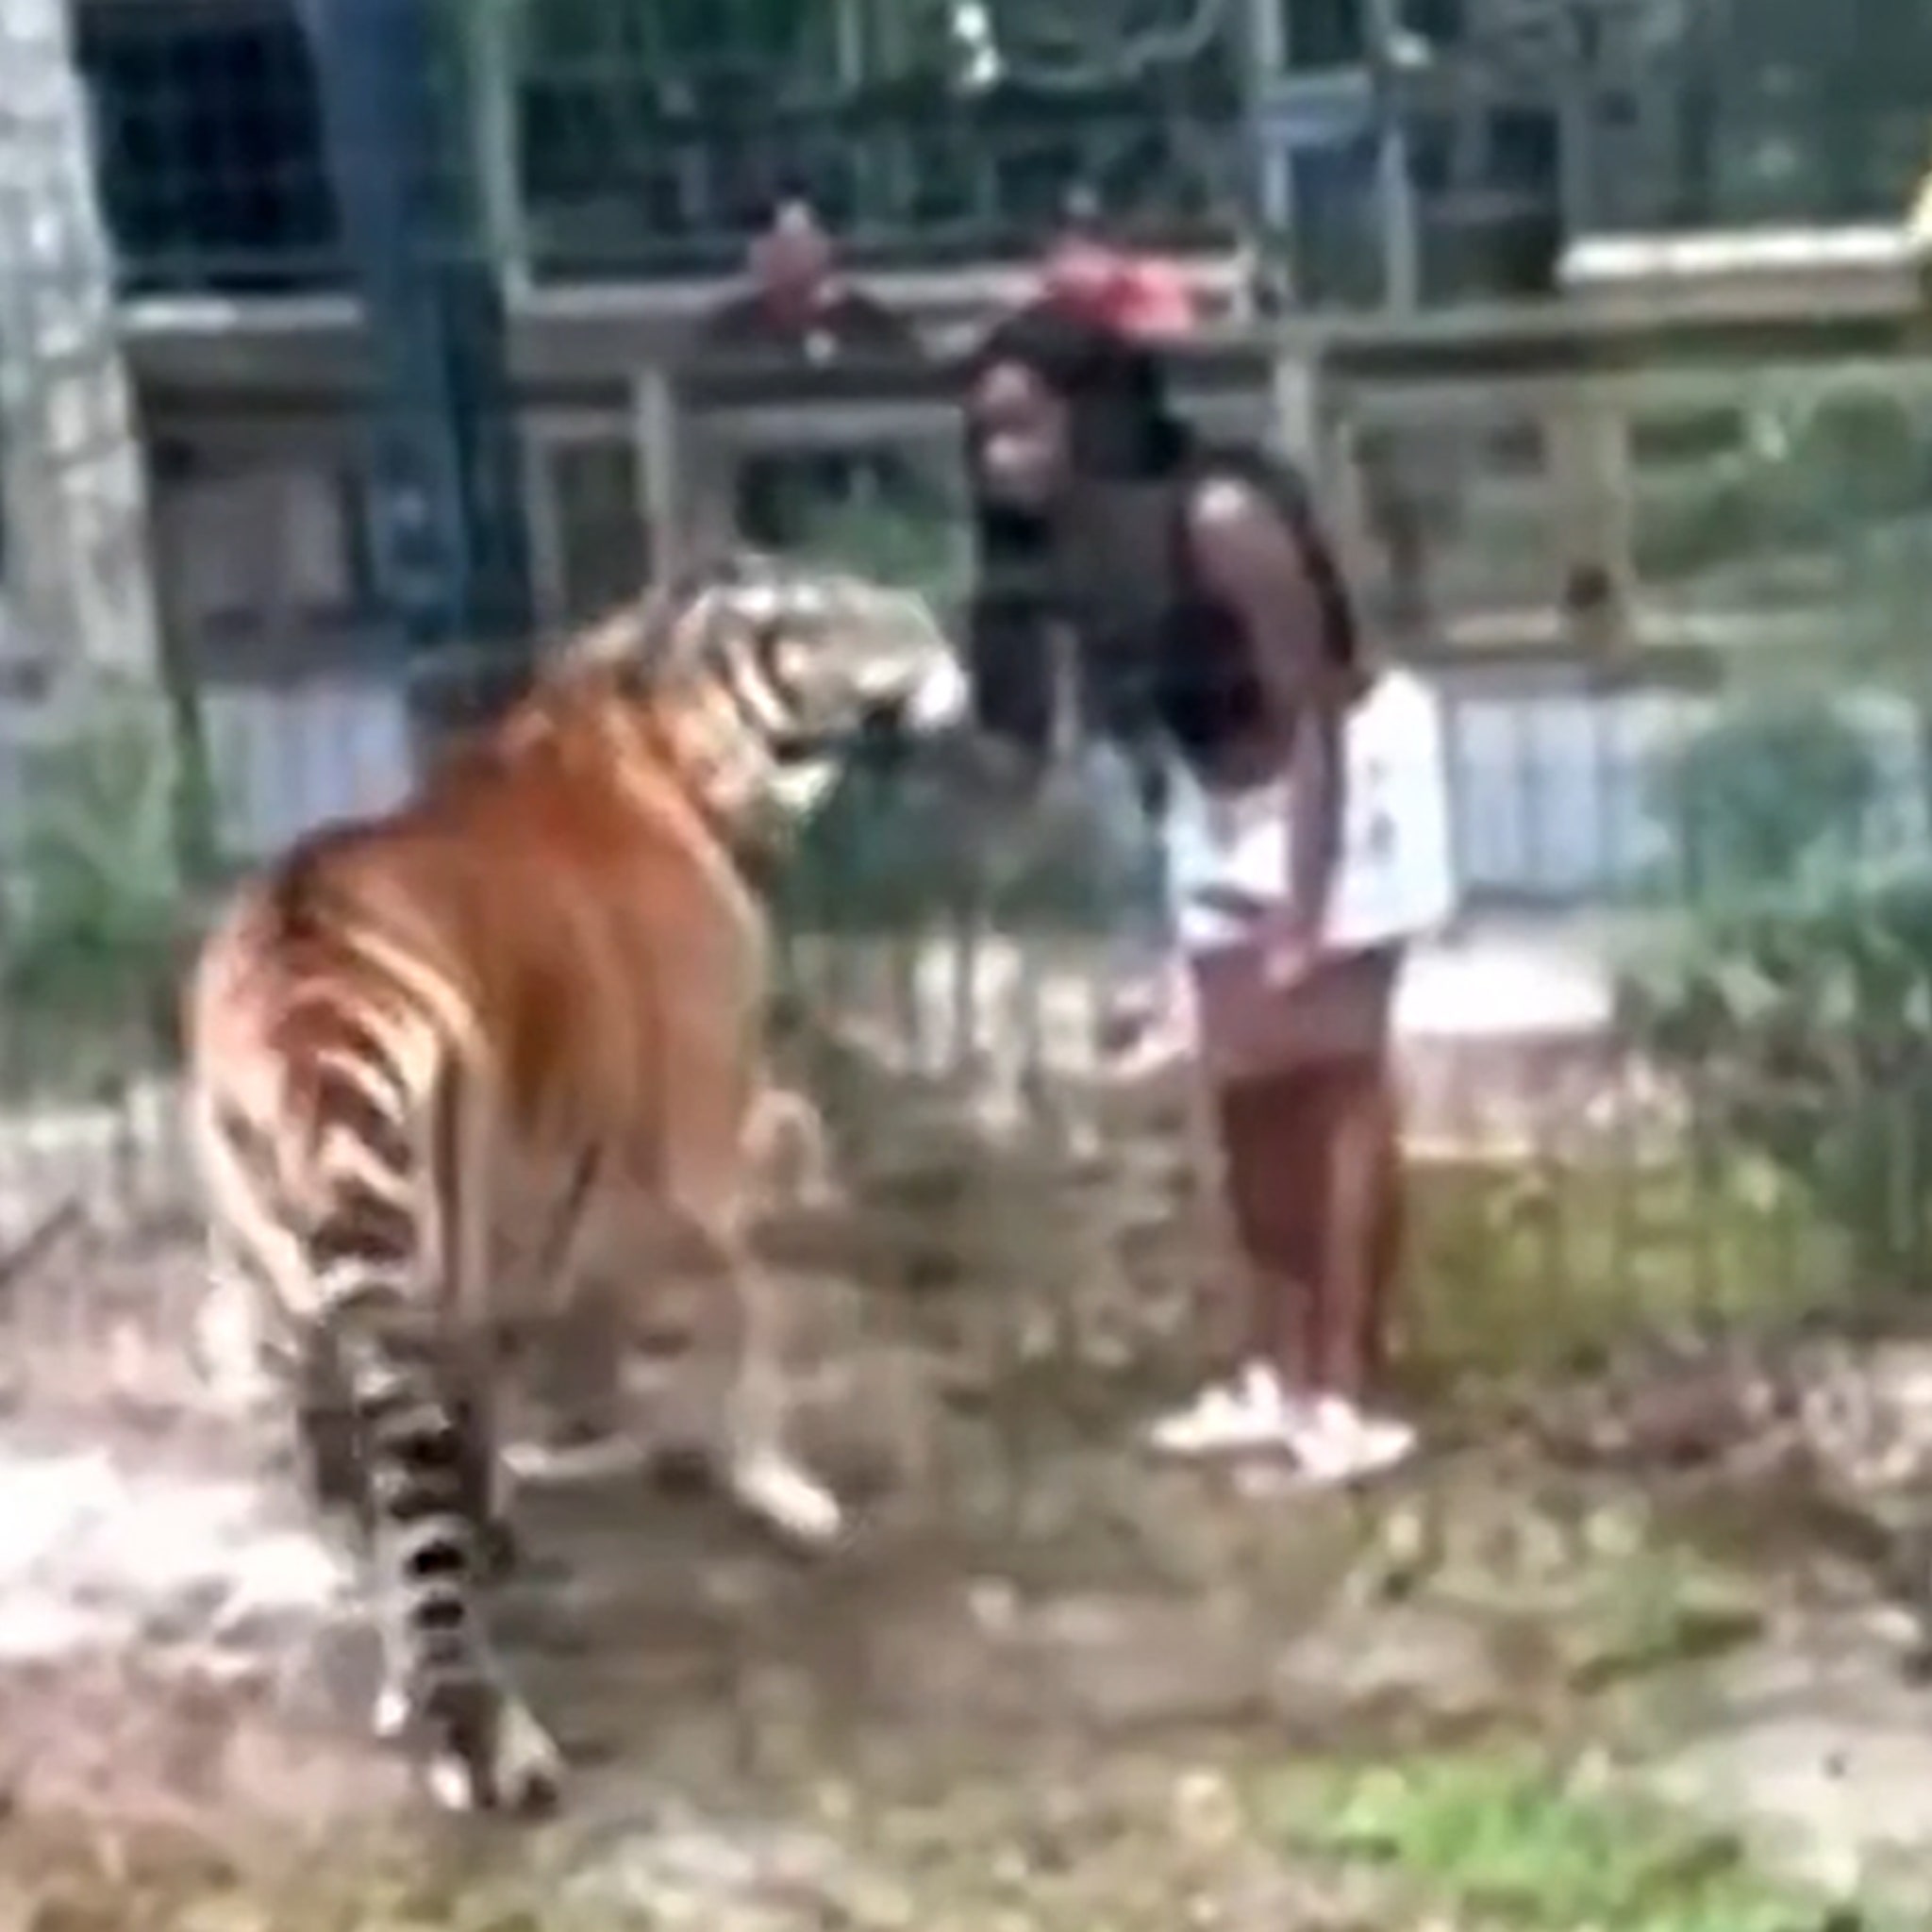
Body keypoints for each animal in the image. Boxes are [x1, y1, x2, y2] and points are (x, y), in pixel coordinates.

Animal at [181, 554, 969, 1815]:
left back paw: (411, 1683)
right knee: (415, 1494)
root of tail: (306, 987)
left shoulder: (537, 1198)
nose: (945, 637)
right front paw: (777, 1485)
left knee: (362, 1499)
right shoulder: (701, 1132)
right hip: (419, 1274)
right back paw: (468, 1710)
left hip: (292, 1298)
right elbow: (745, 1308)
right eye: (854, 615)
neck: (668, 728)